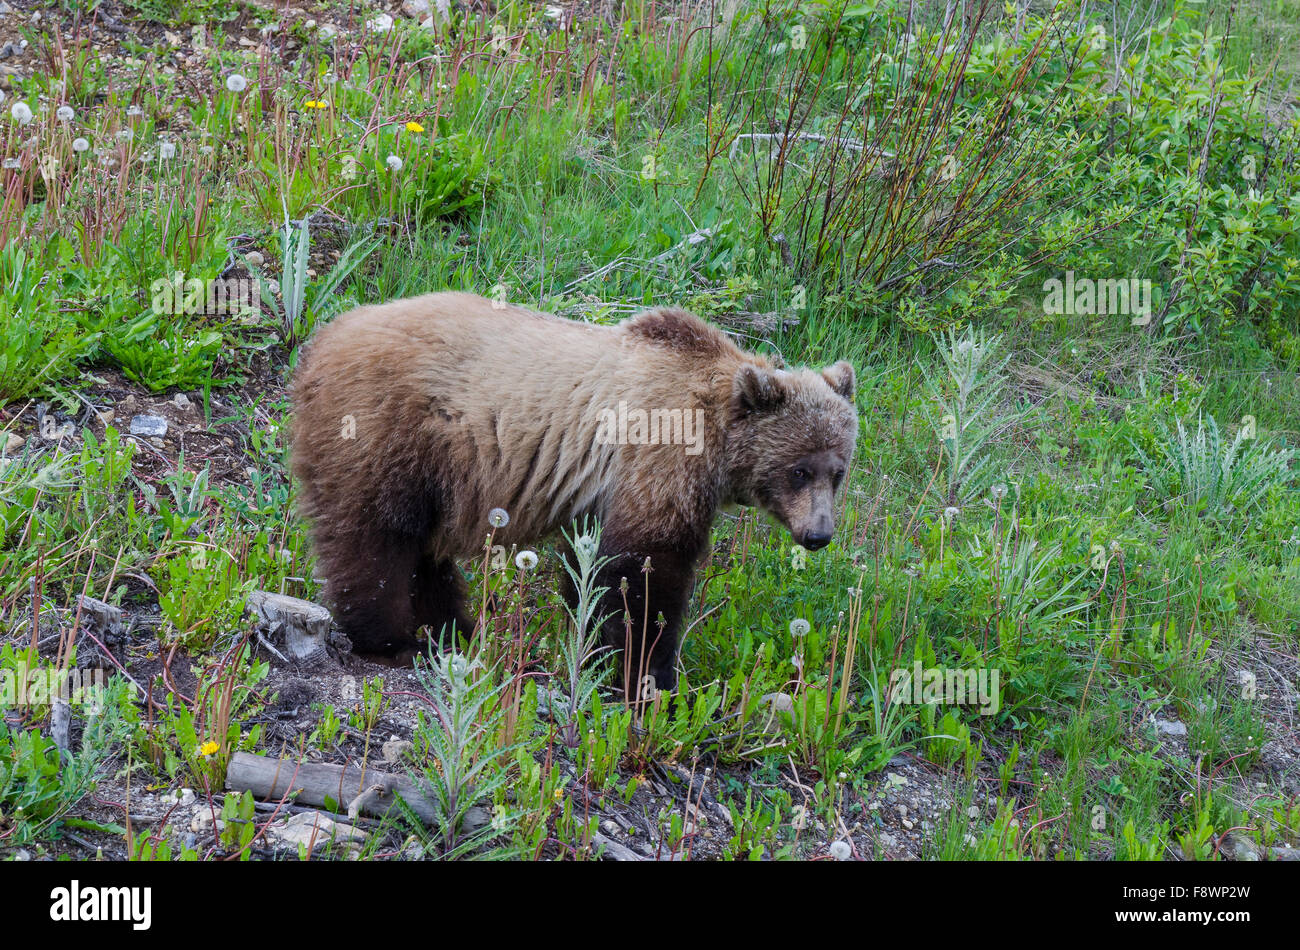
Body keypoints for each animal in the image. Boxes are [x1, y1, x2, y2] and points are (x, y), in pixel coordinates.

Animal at [289, 291, 857, 693]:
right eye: (799, 470)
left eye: (838, 471)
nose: (819, 535)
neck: (716, 429)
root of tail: (318, 344)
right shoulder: (659, 456)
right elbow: (645, 571)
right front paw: (650, 677)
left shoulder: (599, 492)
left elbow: (591, 569)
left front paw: (593, 647)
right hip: (390, 432)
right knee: (377, 537)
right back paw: (394, 640)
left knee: (422, 553)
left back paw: (456, 630)